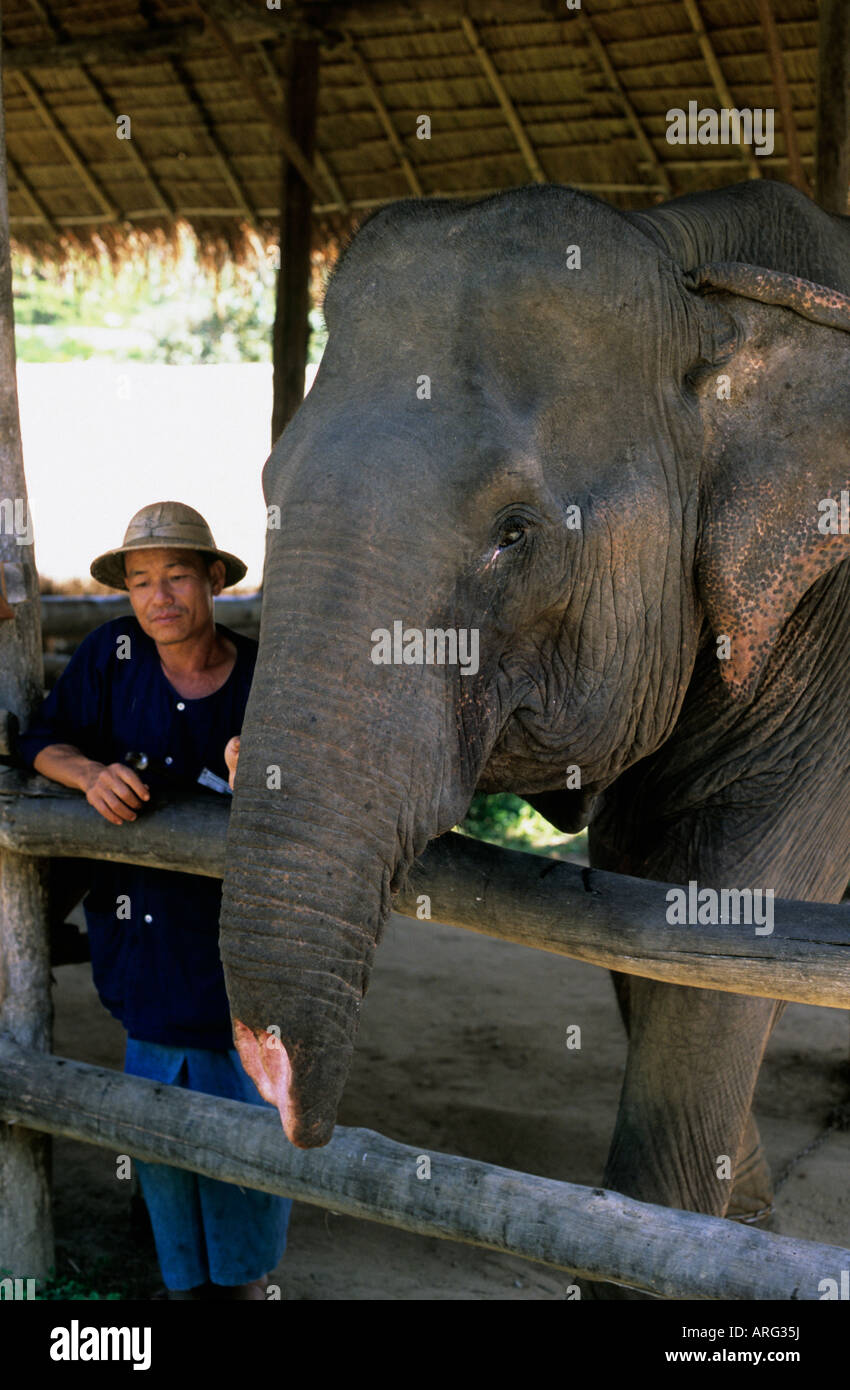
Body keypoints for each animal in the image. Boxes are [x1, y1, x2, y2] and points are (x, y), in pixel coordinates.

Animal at [219, 178, 850, 1290]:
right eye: (266, 488)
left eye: (515, 532)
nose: (287, 1105)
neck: (698, 265)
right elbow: (646, 901)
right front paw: (741, 1225)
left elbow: (738, 907)